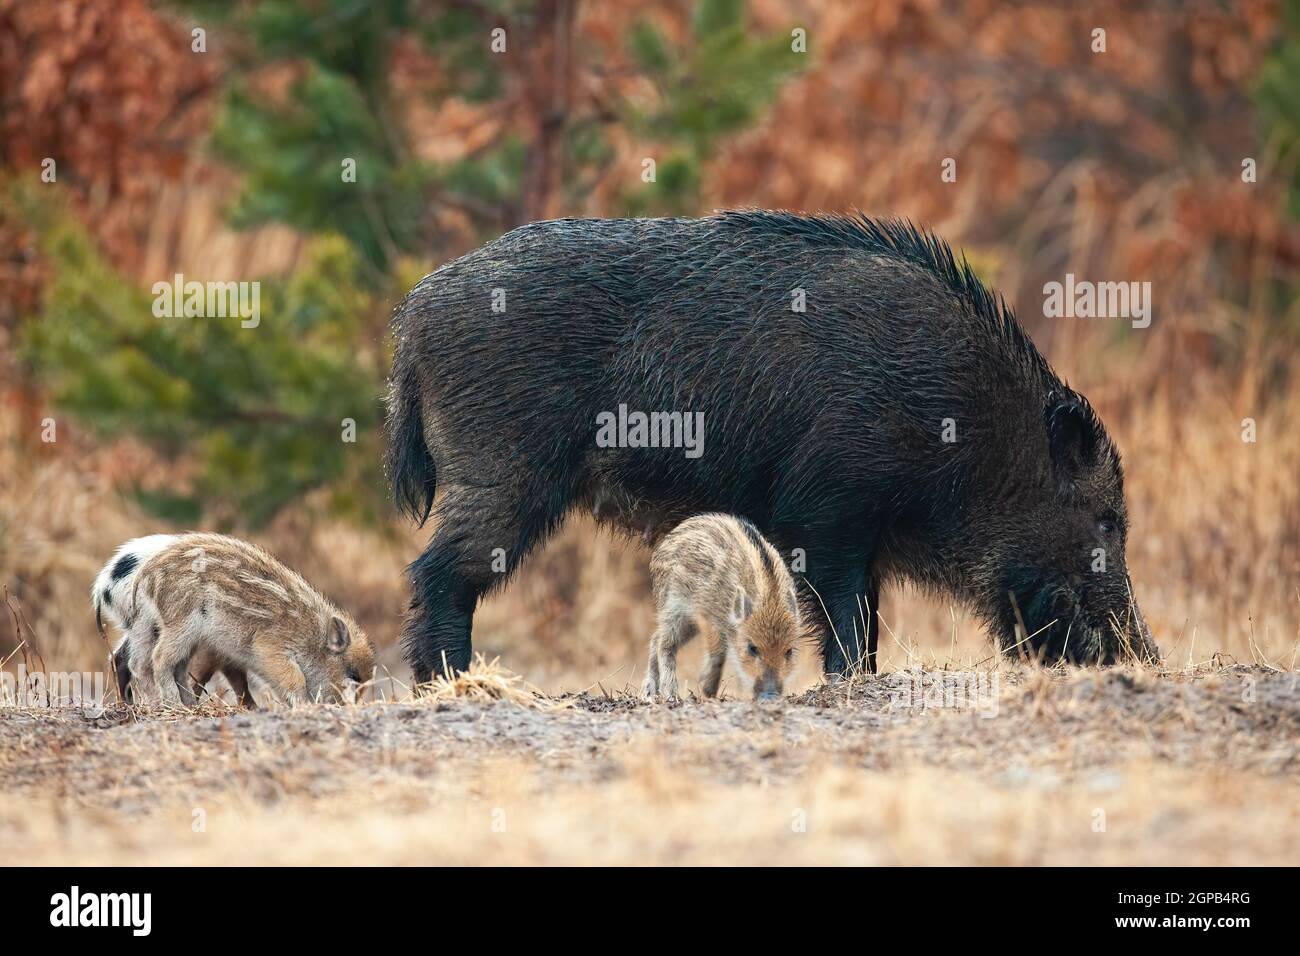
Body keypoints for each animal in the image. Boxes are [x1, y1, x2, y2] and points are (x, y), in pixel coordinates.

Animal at [94, 533, 374, 706]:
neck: (311, 632)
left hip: (147, 627)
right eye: (352, 675)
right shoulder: (268, 645)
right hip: (179, 623)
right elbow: (293, 678)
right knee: (156, 659)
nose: (343, 707)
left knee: (138, 662)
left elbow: (243, 682)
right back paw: (172, 704)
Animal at [386, 211, 1158, 682]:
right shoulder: (828, 512)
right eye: (1105, 521)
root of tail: (413, 311)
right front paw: (850, 683)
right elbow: (847, 620)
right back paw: (450, 681)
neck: (969, 430)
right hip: (502, 469)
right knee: (436, 571)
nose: (1143, 654)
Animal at [643, 514, 804, 701]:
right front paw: (707, 691)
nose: (769, 696)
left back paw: (651, 693)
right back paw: (669, 695)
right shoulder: (706, 615)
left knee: (655, 637)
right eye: (752, 648)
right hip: (673, 607)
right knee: (664, 643)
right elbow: (719, 651)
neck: (769, 596)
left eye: (789, 651)